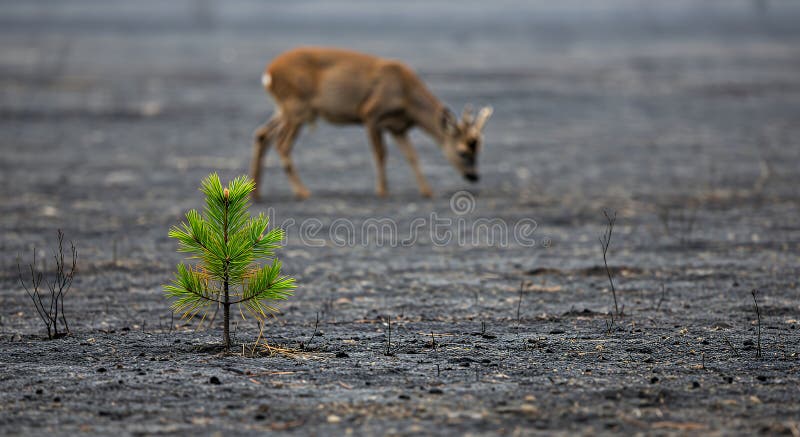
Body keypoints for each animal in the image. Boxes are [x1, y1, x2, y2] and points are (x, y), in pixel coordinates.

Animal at [251, 46, 492, 200]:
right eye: (462, 152)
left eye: (478, 149)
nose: (474, 176)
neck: (406, 96)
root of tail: (269, 73)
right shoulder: (371, 114)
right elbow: (381, 154)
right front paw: (383, 190)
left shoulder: (398, 128)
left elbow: (412, 156)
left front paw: (427, 191)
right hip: (297, 107)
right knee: (282, 144)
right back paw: (302, 192)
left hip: (284, 109)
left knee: (262, 134)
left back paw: (256, 191)